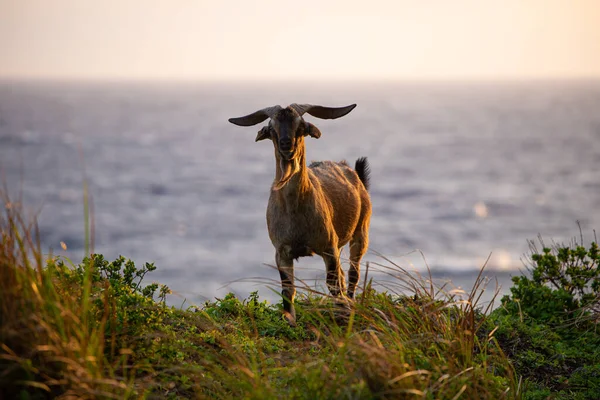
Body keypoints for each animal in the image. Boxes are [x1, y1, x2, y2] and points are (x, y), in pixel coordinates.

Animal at [230, 103, 370, 324]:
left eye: (301, 126)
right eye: (271, 128)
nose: (286, 145)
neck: (296, 215)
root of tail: (352, 171)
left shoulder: (328, 247)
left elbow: (333, 285)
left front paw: (342, 314)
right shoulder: (282, 252)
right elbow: (288, 291)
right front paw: (289, 320)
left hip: (361, 230)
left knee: (352, 273)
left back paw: (351, 303)